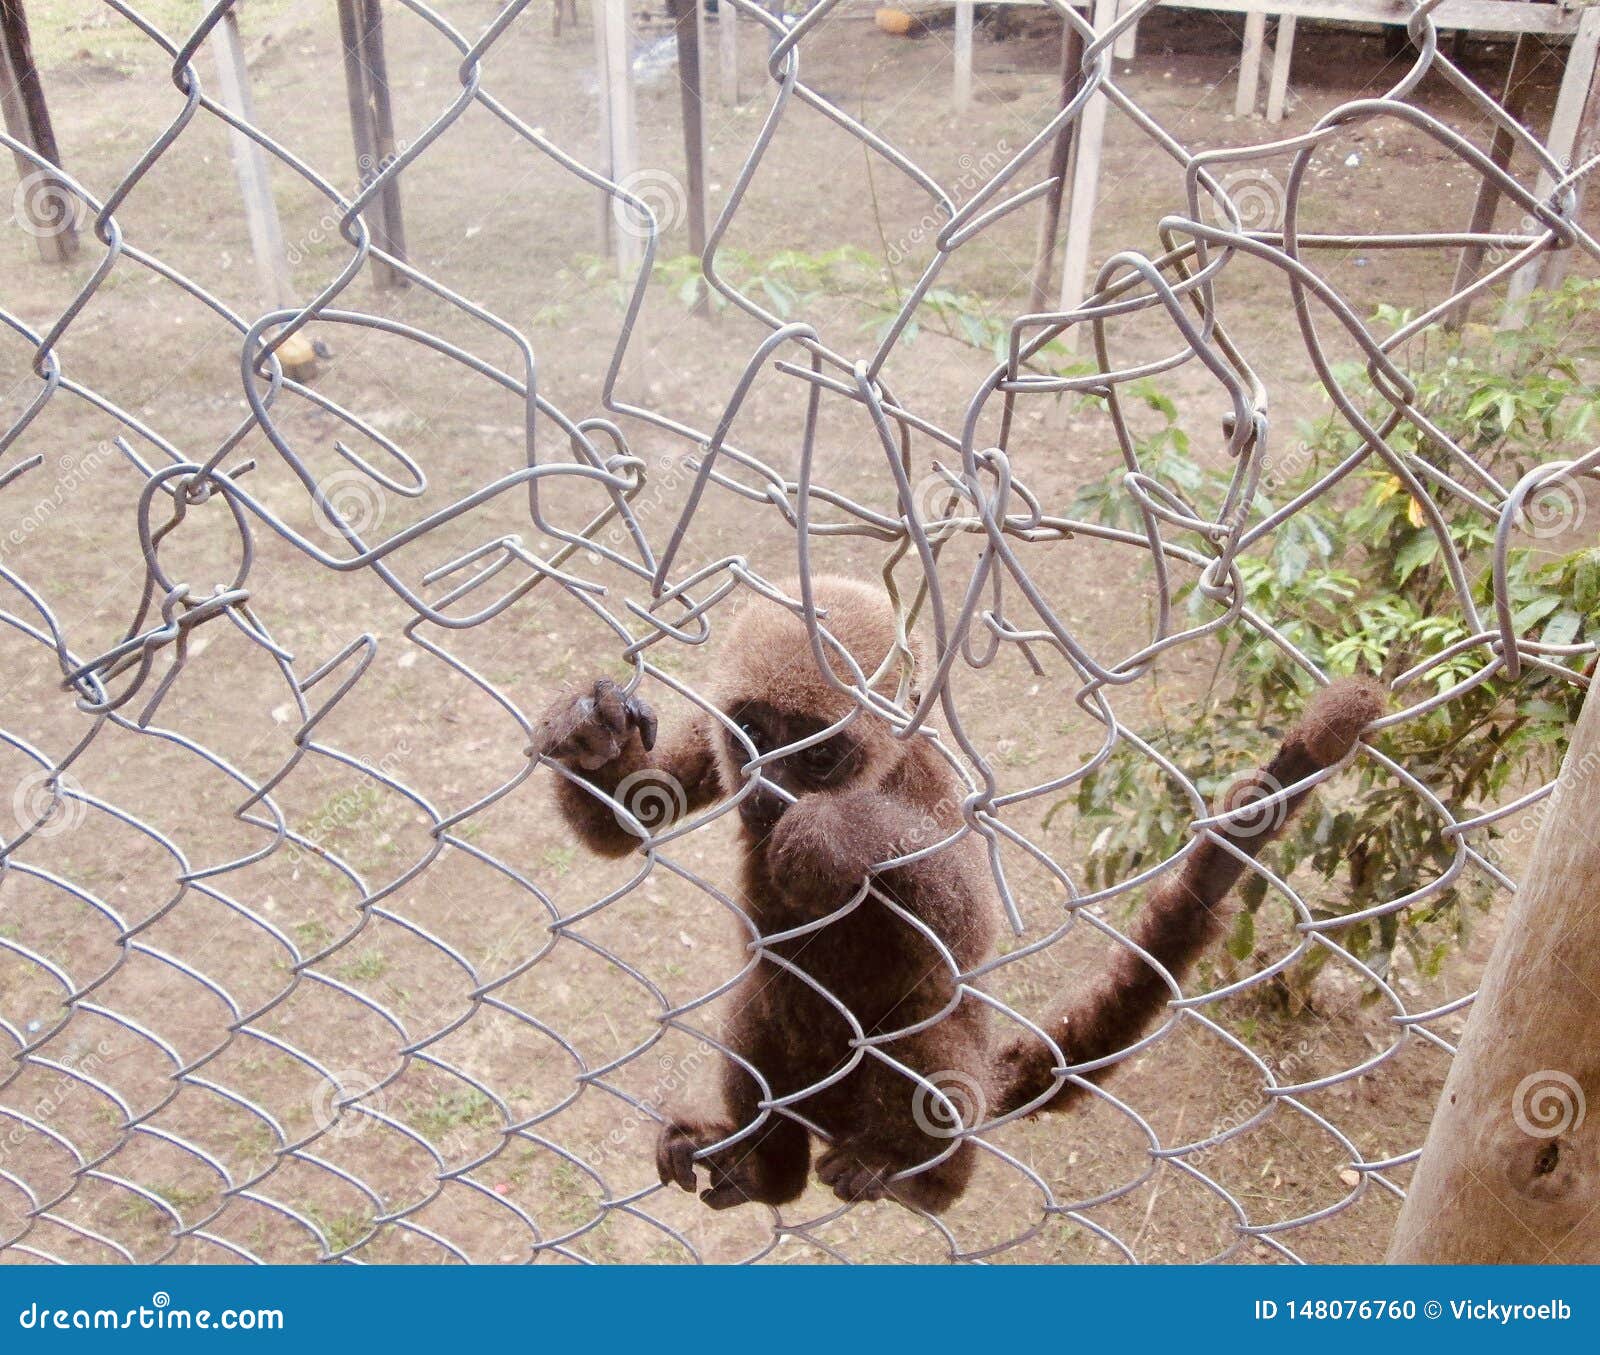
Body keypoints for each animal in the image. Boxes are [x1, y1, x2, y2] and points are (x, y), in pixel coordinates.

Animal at [533, 575, 1383, 1213]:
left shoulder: (928, 779)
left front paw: (834, 834)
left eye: (819, 754)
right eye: (756, 735)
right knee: (759, 1008)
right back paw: (771, 1174)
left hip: (937, 1074)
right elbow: (635, 810)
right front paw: (596, 732)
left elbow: (965, 926)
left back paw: (927, 1181)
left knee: (927, 1031)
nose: (772, 787)